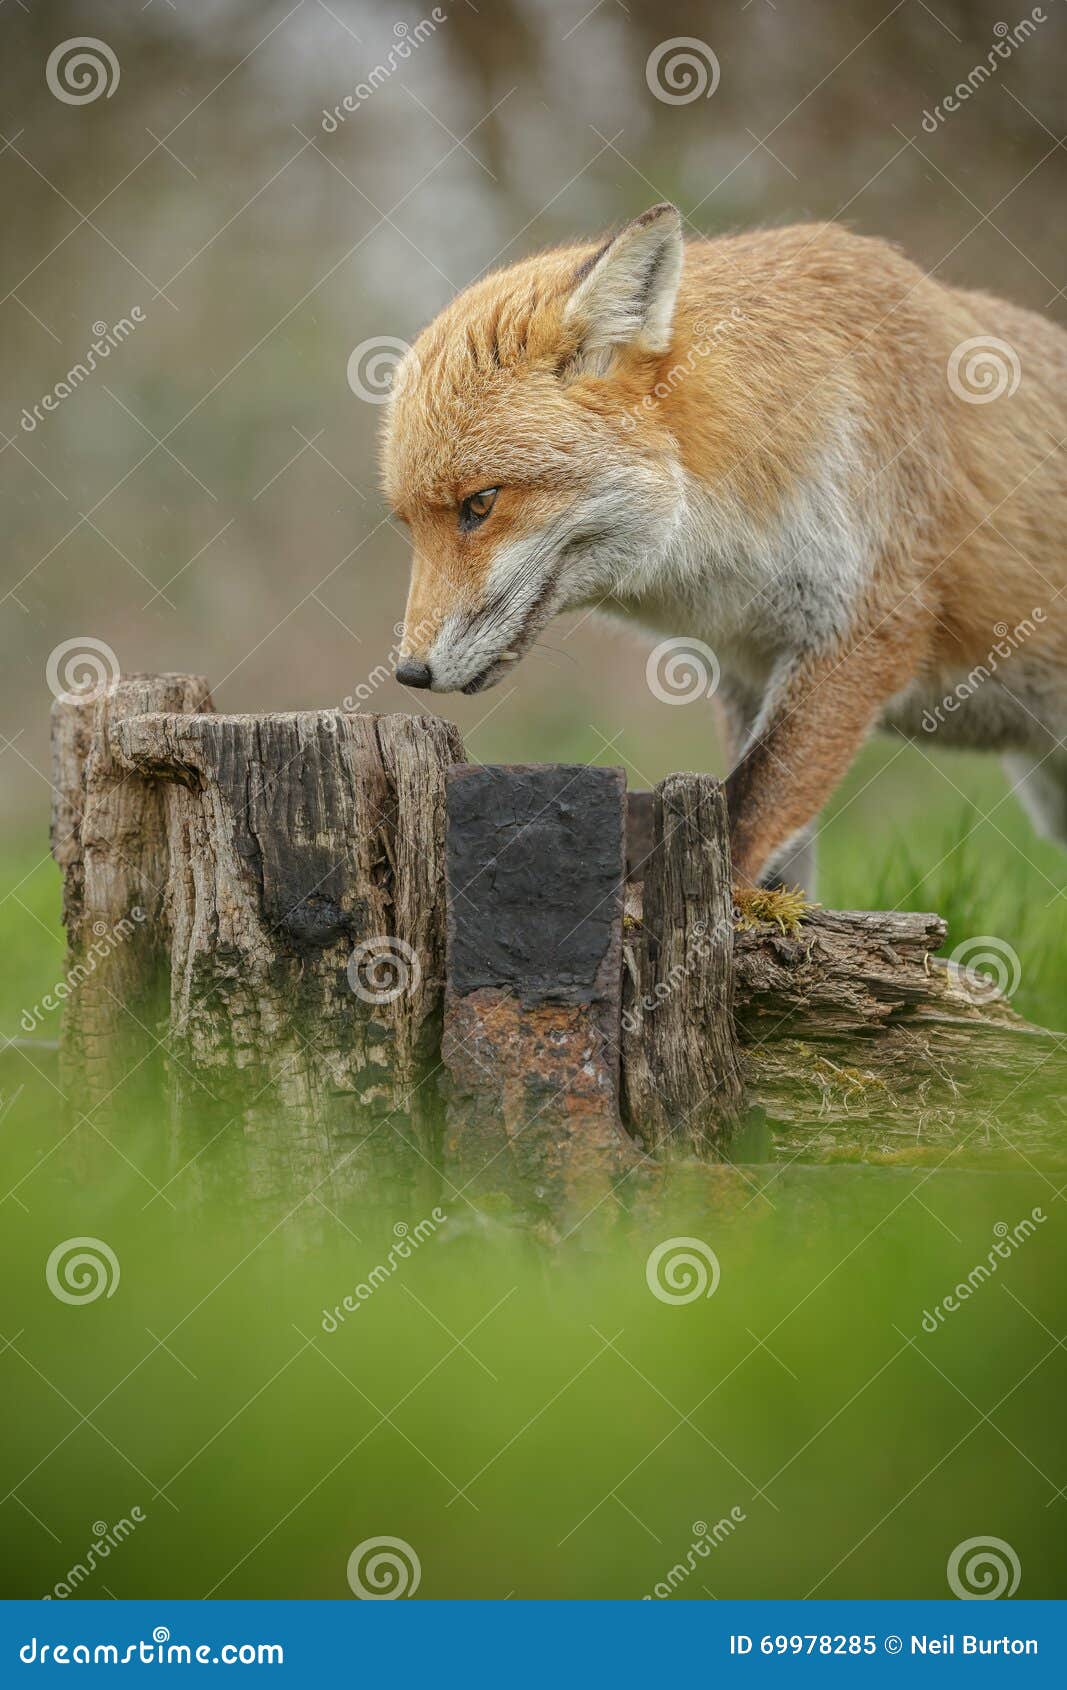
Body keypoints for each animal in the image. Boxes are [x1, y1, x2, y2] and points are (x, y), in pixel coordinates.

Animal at [380, 205, 1067, 893]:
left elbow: (747, 815)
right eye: (407, 523)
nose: (410, 673)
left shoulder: (867, 630)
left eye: (481, 502)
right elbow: (783, 867)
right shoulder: (747, 674)